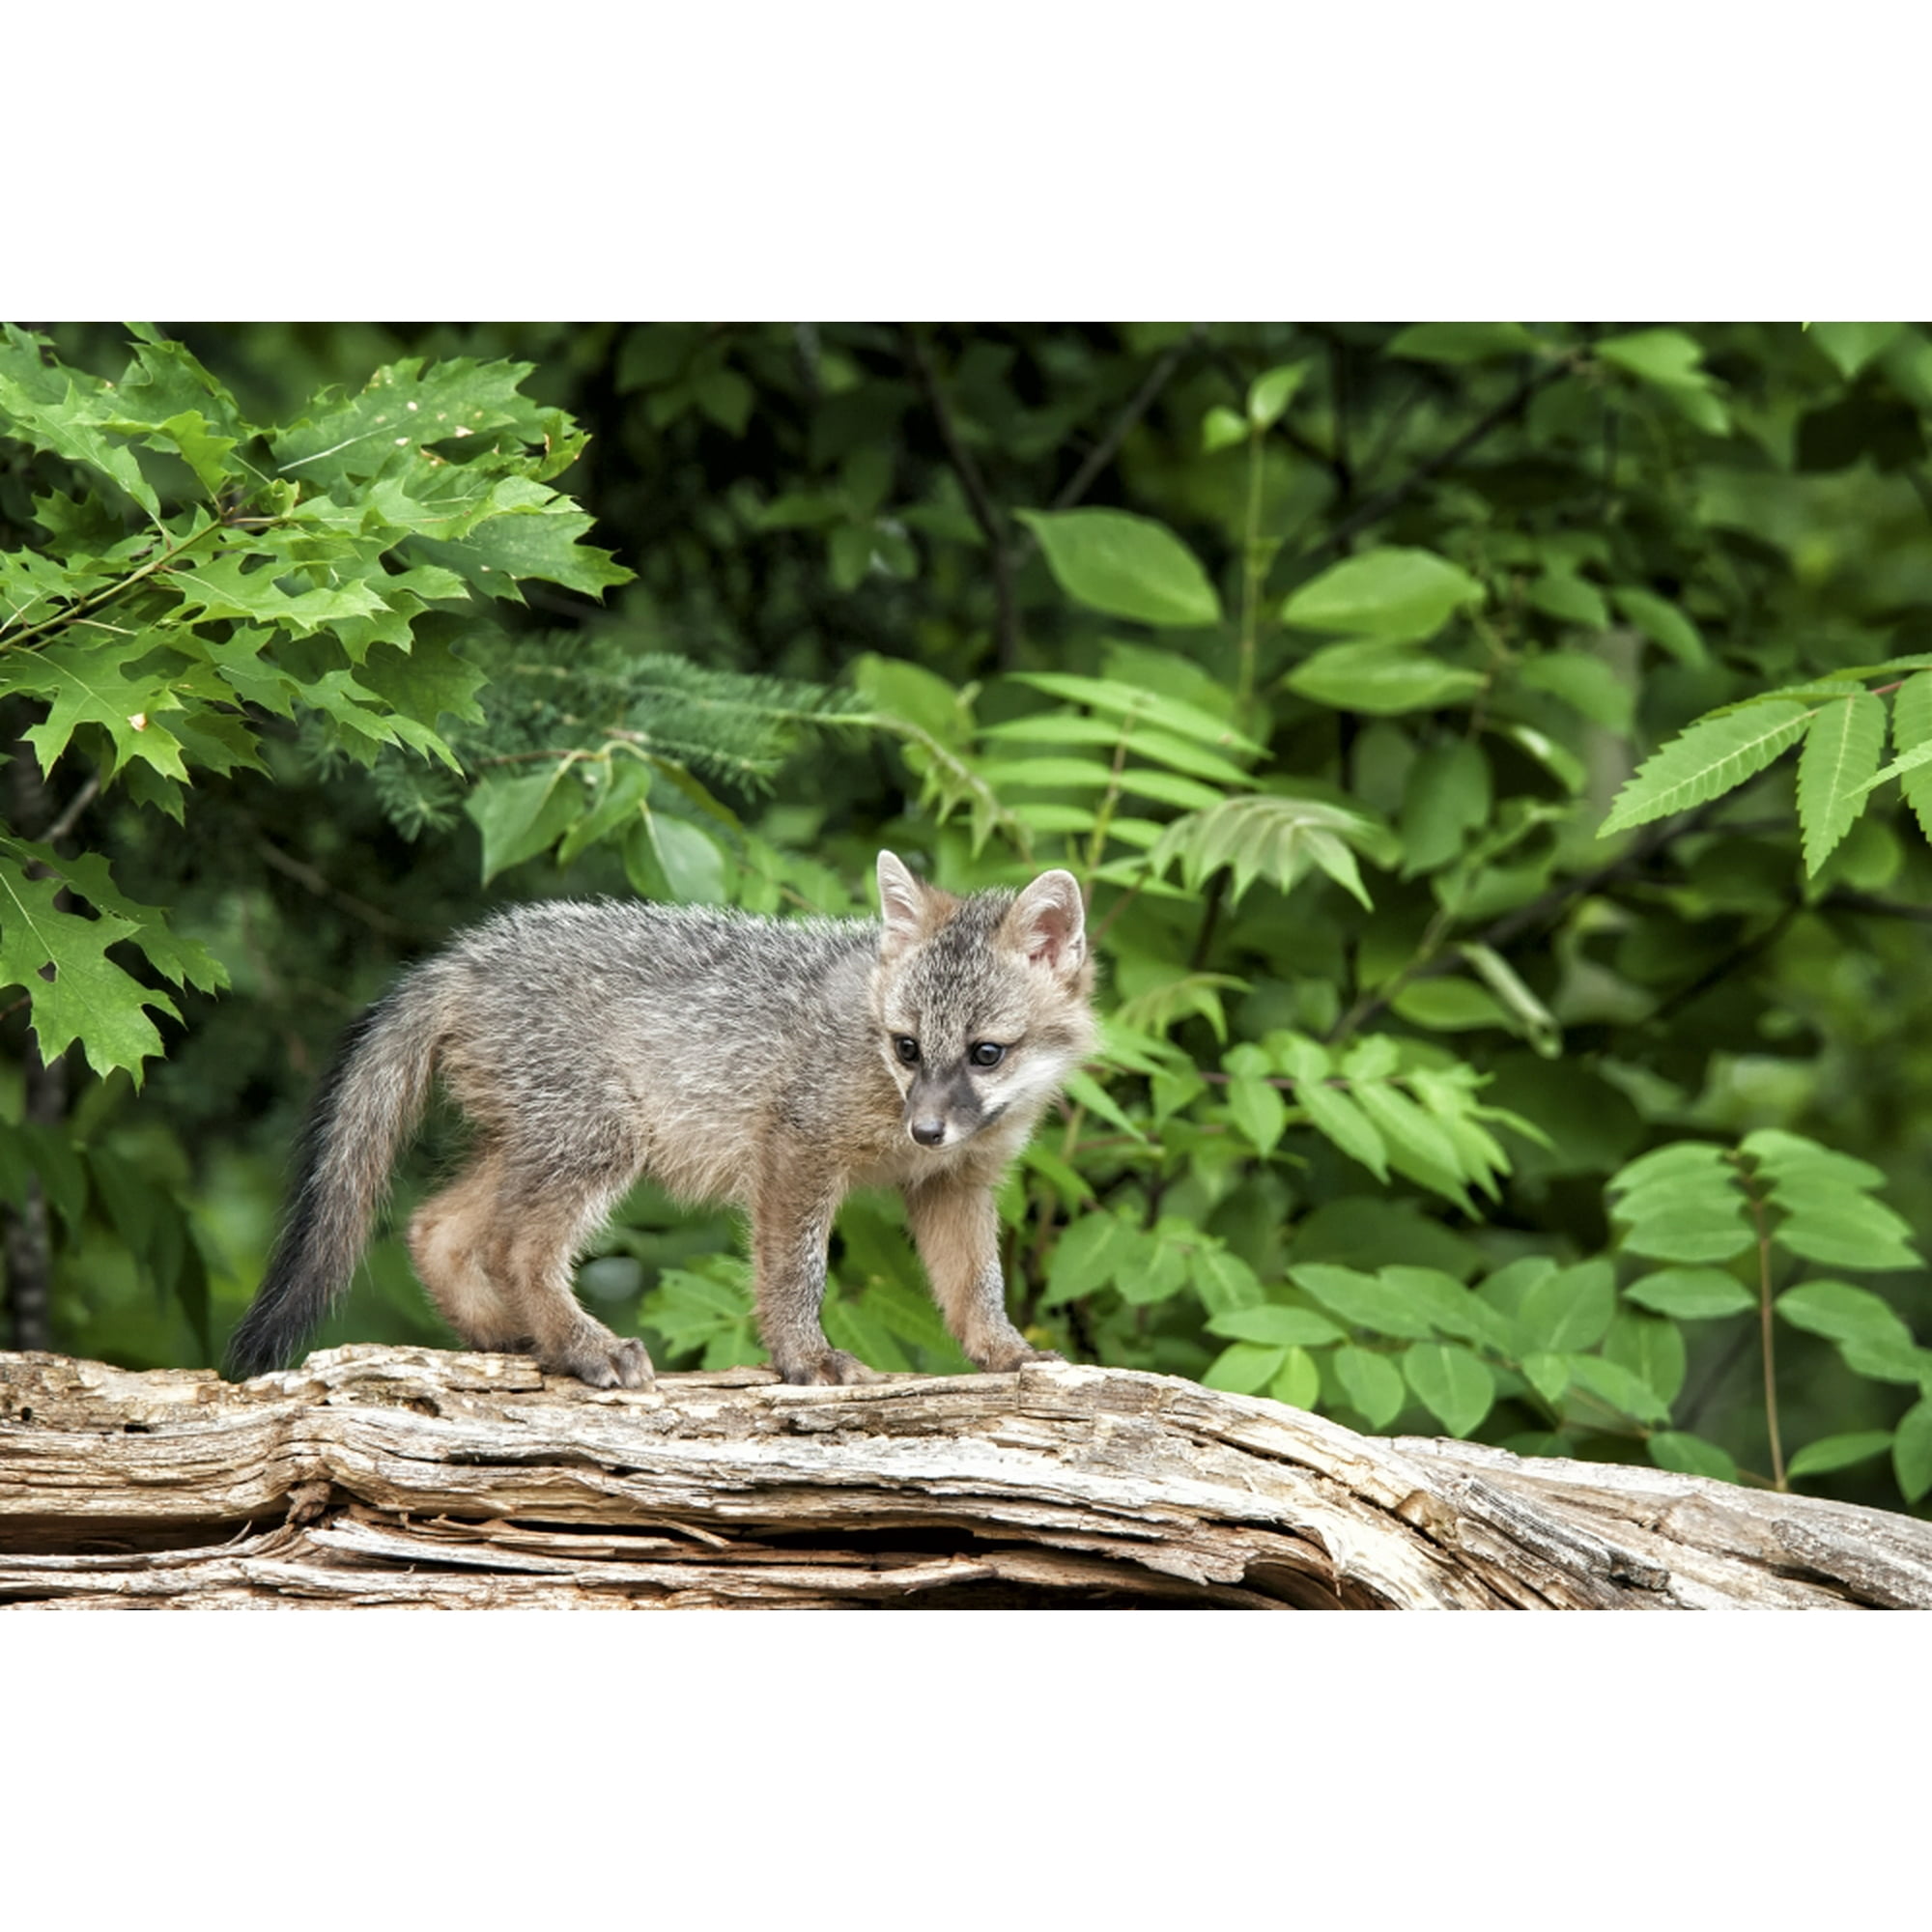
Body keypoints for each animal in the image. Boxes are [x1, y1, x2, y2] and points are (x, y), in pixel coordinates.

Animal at [227, 851, 1097, 1389]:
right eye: (907, 1047)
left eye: (985, 1054)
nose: (925, 1131)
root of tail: (468, 952)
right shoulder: (798, 1150)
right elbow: (796, 1273)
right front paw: (806, 1359)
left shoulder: (956, 1182)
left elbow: (976, 1287)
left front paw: (1008, 1354)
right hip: (601, 1142)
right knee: (513, 1249)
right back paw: (585, 1348)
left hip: (544, 1143)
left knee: (435, 1228)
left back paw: (517, 1338)